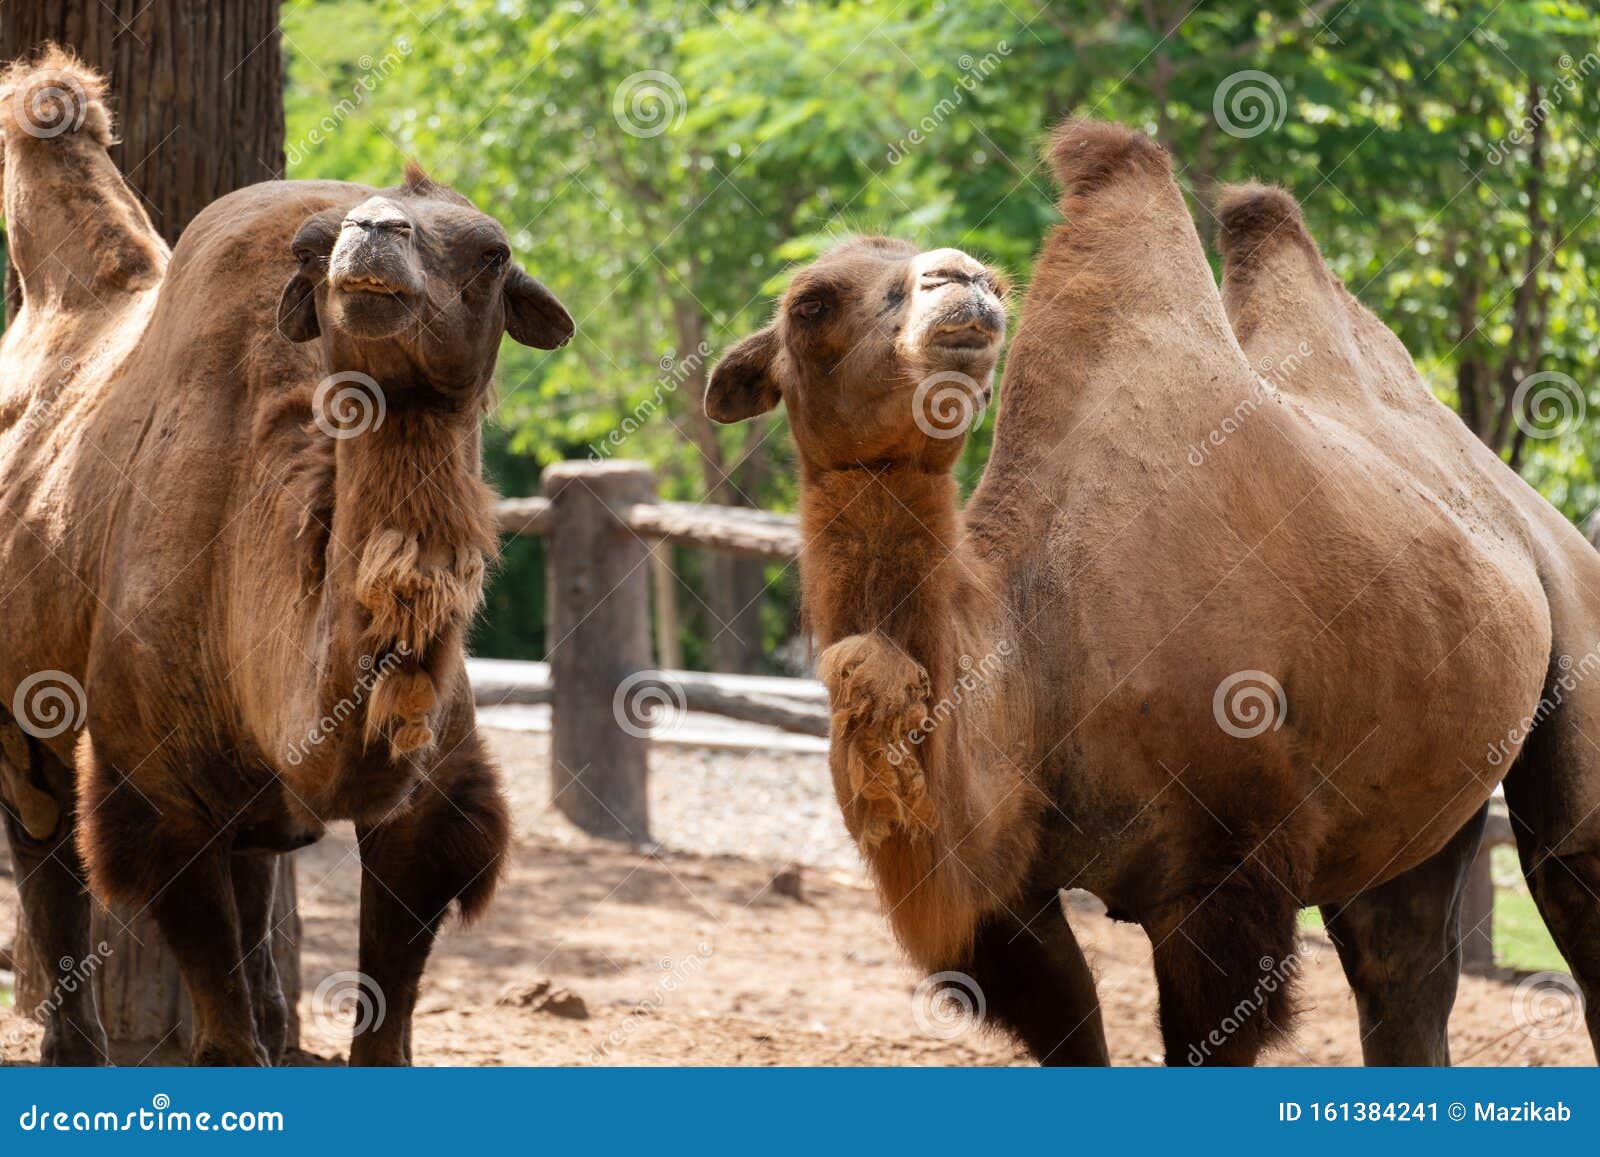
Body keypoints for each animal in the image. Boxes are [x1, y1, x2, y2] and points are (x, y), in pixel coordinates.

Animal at [0, 49, 573, 1065]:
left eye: (493, 252)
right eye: (312, 249)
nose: (372, 234)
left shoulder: (435, 804)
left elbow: (387, 1029)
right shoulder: (157, 792)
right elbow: (222, 1036)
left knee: (255, 862)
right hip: (19, 707)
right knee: (45, 848)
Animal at [707, 118, 1598, 1066]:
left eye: (992, 282)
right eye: (811, 302)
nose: (963, 282)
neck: (1034, 657)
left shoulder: (1224, 874)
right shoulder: (1008, 902)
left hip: (1574, 658)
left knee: (1572, 882)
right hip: (1416, 815)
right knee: (1404, 980)